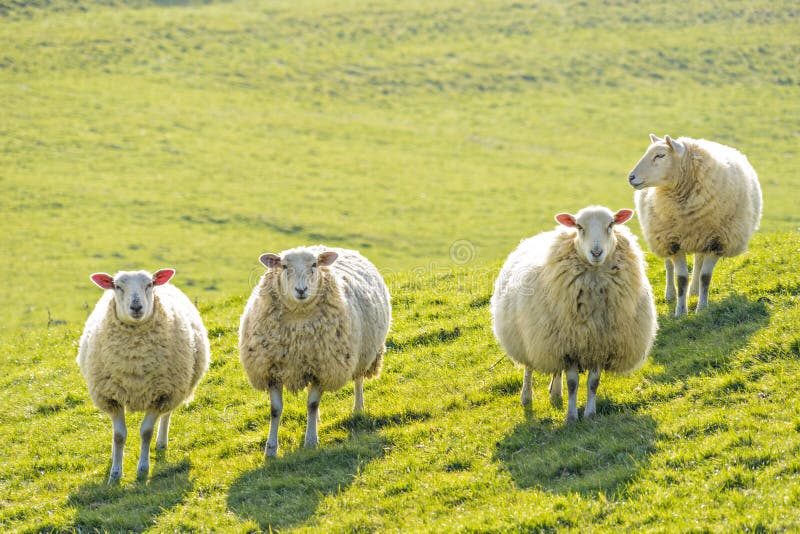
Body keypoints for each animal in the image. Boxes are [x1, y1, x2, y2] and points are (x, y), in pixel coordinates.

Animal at [77, 268, 210, 483]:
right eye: (117, 286)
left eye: (149, 284)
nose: (136, 307)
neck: (135, 357)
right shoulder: (111, 397)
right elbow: (119, 436)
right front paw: (115, 473)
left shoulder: (161, 394)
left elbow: (146, 432)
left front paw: (142, 470)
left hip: (174, 388)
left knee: (166, 415)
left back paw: (161, 442)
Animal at [239, 245, 391, 457]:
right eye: (284, 266)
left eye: (314, 265)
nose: (301, 290)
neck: (298, 317)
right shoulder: (271, 370)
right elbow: (275, 410)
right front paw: (270, 449)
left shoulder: (323, 368)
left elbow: (312, 404)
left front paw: (310, 441)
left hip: (361, 353)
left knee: (358, 380)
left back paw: (358, 408)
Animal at [491, 206, 657, 423]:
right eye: (579, 227)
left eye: (611, 225)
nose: (596, 252)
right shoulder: (568, 348)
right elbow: (572, 384)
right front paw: (571, 417)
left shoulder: (598, 345)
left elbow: (593, 383)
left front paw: (589, 415)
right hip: (529, 338)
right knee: (529, 367)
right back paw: (526, 397)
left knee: (556, 370)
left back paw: (555, 393)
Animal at [628, 134, 763, 316]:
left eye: (660, 155)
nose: (631, 177)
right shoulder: (673, 242)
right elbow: (681, 279)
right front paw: (680, 311)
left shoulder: (717, 242)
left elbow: (705, 277)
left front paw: (702, 308)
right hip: (661, 236)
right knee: (668, 266)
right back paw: (670, 294)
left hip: (701, 237)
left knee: (698, 261)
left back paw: (694, 291)